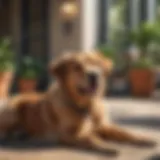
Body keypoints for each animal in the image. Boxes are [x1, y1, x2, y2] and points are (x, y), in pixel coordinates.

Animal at [0, 51, 156, 155]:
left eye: (96, 64)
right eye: (77, 67)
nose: (94, 75)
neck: (87, 106)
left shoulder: (104, 125)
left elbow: (126, 132)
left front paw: (144, 139)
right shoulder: (67, 134)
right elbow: (90, 137)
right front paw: (105, 145)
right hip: (13, 109)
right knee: (5, 129)